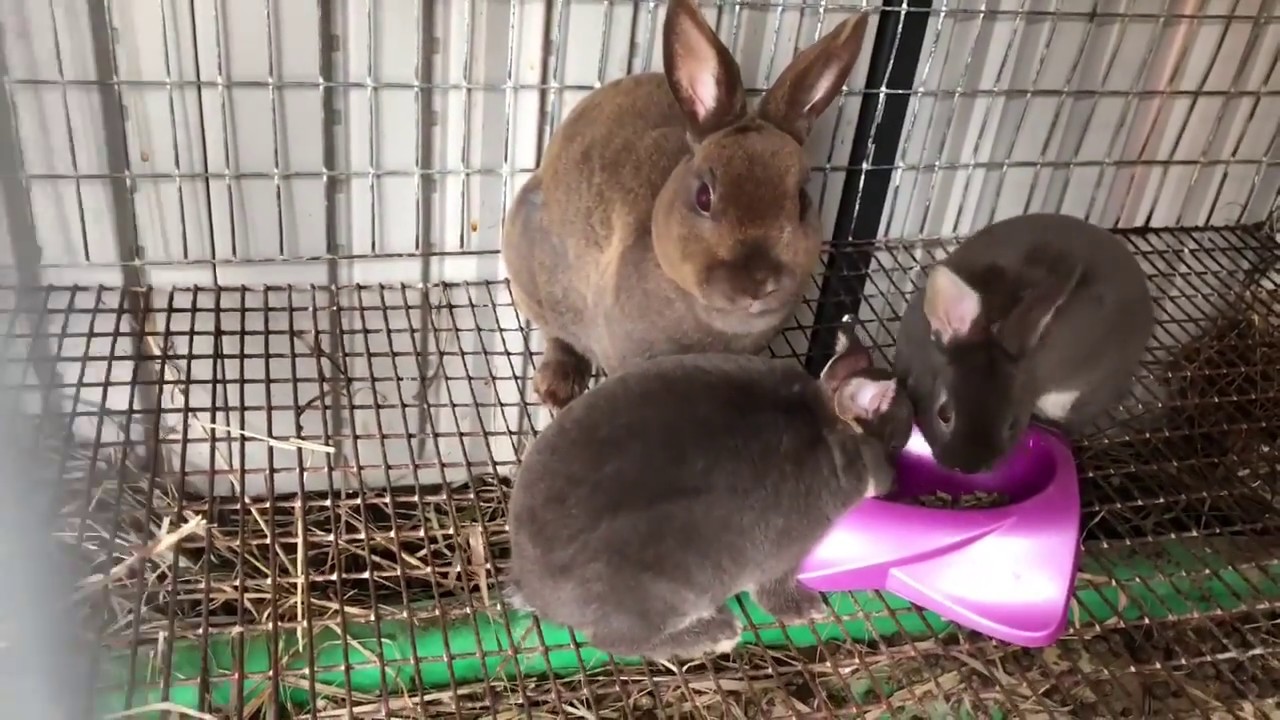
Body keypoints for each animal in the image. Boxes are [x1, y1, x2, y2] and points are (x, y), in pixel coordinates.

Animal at [505, 317, 912, 661]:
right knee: (618, 642)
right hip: (666, 595)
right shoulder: (784, 558)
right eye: (894, 446)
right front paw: (810, 608)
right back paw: (719, 634)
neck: (830, 438)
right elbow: (773, 594)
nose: (893, 483)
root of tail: (538, 591)